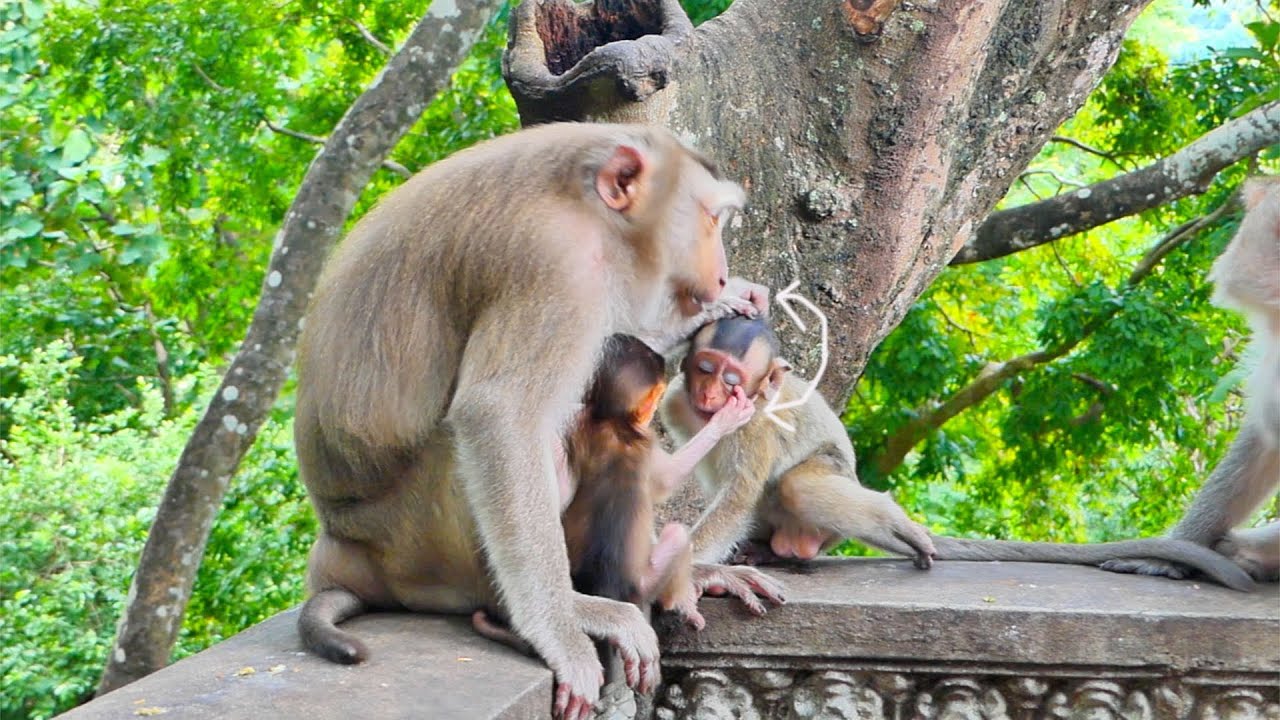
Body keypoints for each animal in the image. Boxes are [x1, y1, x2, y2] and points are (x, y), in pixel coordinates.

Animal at [292, 122, 776, 720]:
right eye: (710, 219)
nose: (722, 272)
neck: (586, 205)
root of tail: (341, 547)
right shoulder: (557, 264)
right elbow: (498, 411)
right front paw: (558, 631)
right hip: (416, 540)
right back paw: (577, 605)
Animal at [660, 315, 1259, 592]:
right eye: (705, 369)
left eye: (732, 380)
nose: (712, 395)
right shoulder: (674, 401)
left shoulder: (755, 424)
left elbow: (739, 494)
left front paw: (687, 567)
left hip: (826, 504)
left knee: (798, 485)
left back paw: (898, 528)